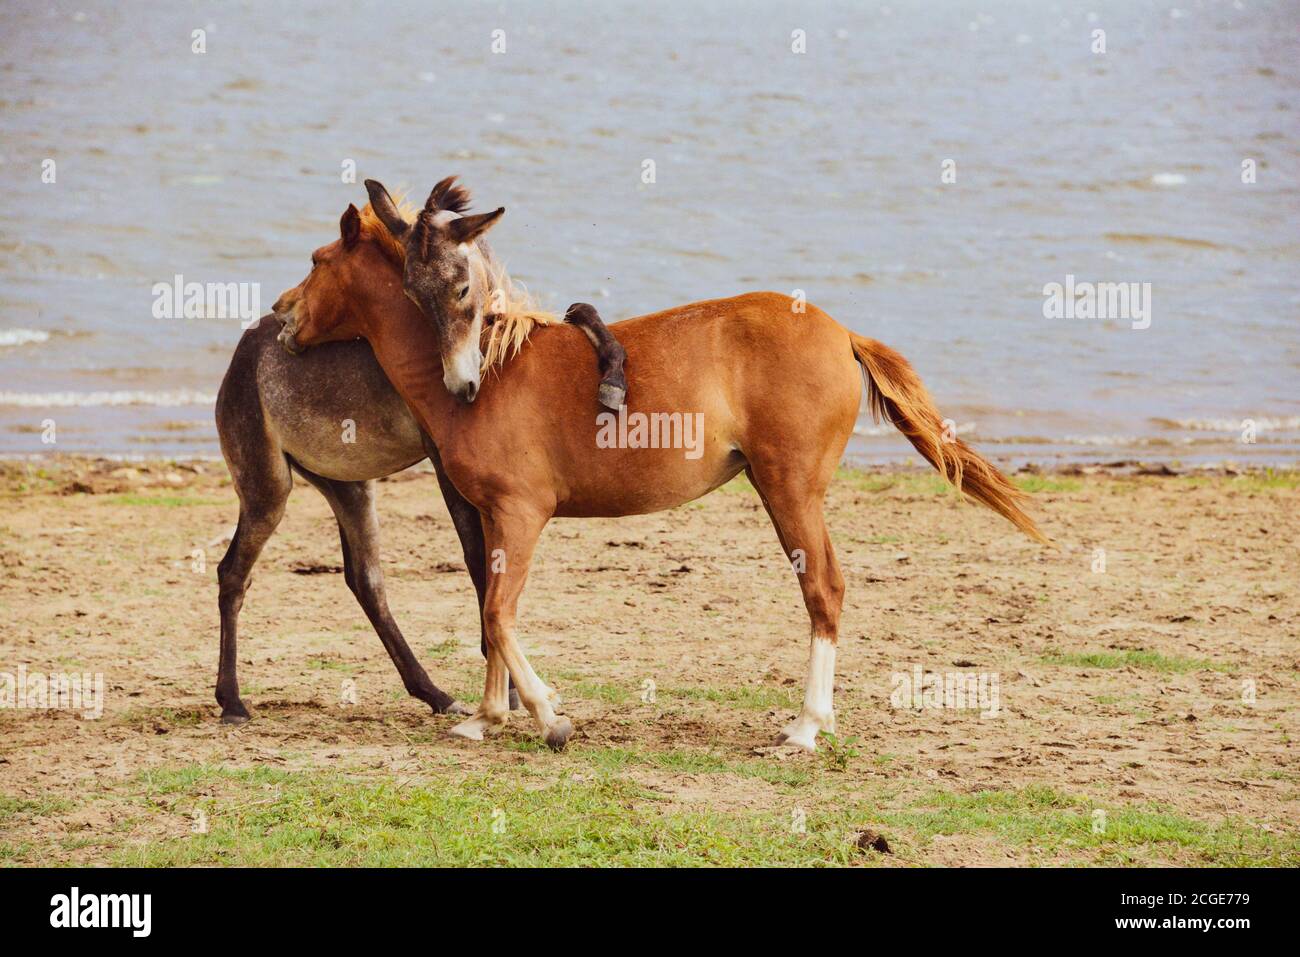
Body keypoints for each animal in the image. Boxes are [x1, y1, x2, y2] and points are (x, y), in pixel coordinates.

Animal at [214, 202, 628, 723]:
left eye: (465, 283)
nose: (284, 312)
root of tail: (237, 365)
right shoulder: (445, 461)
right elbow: (477, 560)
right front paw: (511, 692)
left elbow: (580, 310)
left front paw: (613, 378)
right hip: (268, 490)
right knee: (233, 573)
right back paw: (232, 701)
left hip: (348, 487)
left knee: (366, 581)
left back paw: (434, 693)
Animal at [274, 178, 1048, 752]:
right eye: (413, 288)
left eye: (315, 261)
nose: (281, 314)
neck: (498, 370)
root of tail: (842, 333)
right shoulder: (489, 519)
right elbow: (490, 609)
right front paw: (487, 717)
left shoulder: (522, 514)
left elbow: (497, 611)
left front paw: (548, 715)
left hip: (790, 491)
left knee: (824, 589)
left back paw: (804, 726)